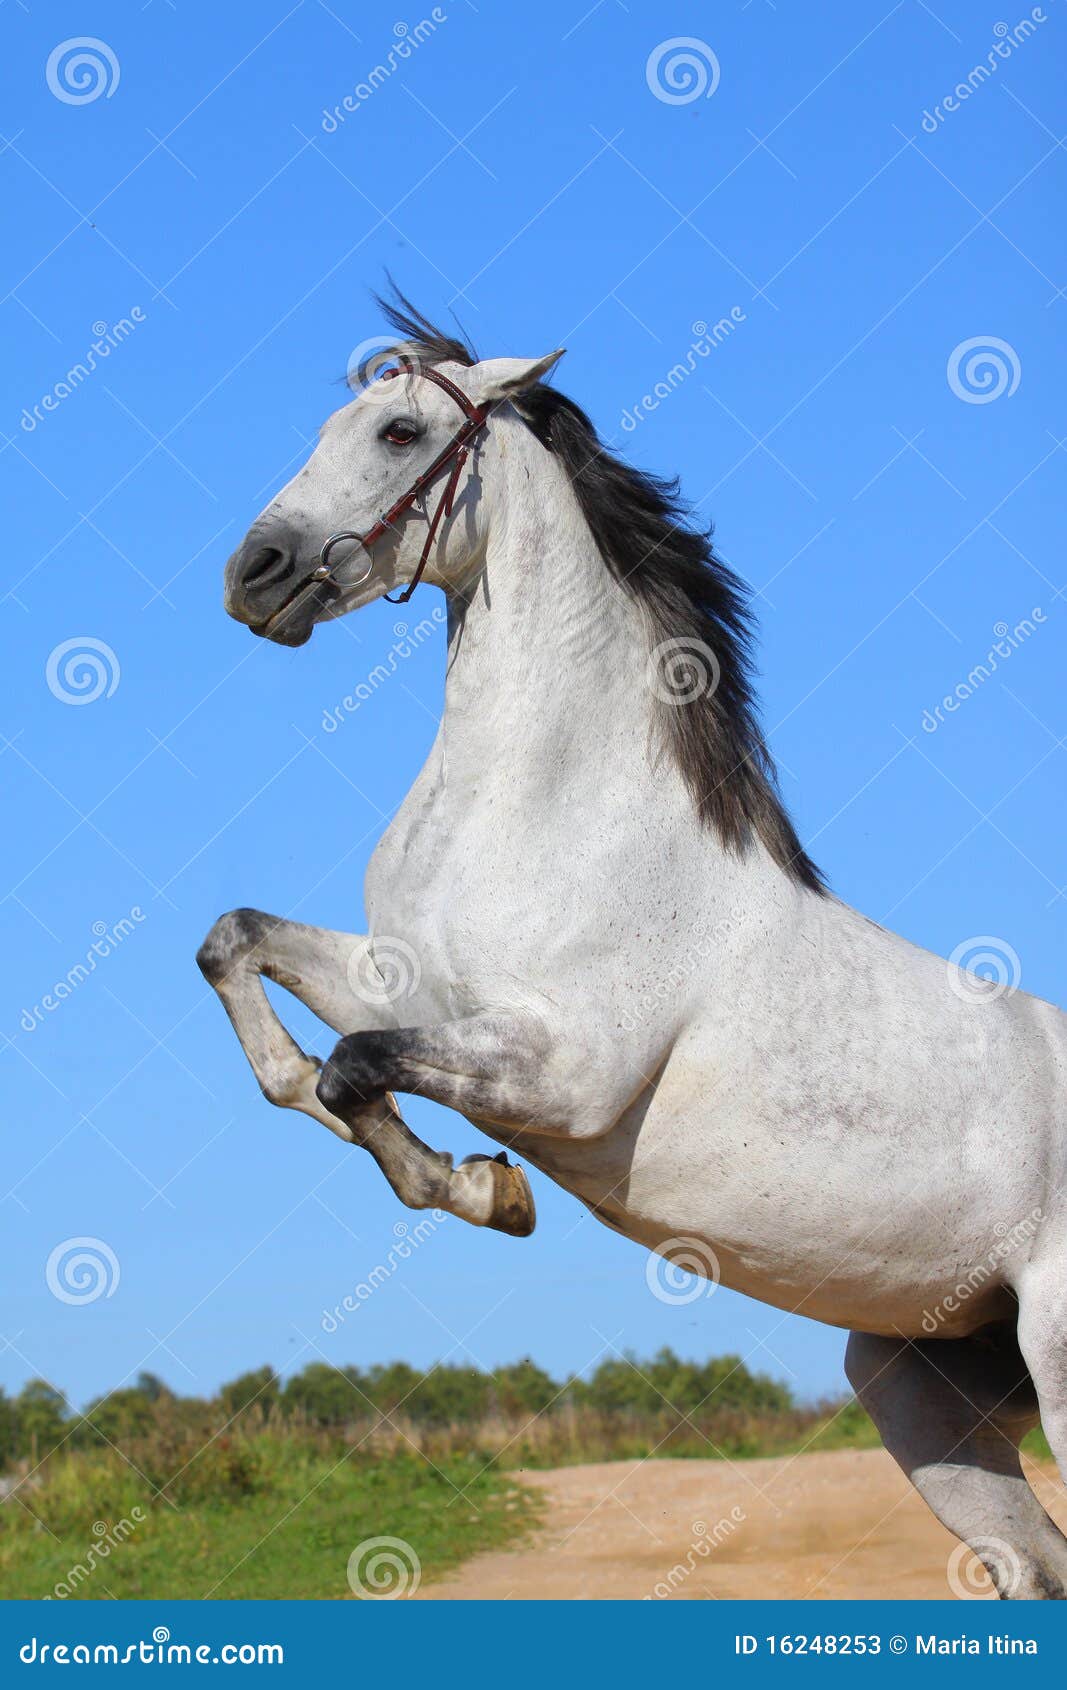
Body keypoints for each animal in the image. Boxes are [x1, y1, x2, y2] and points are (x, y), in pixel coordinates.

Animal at [199, 296, 1067, 1599]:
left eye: (400, 433)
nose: (253, 575)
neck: (548, 806)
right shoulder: (404, 983)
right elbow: (241, 959)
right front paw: (461, 1177)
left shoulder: (562, 1072)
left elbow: (355, 1067)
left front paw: (480, 1189)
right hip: (927, 1388)